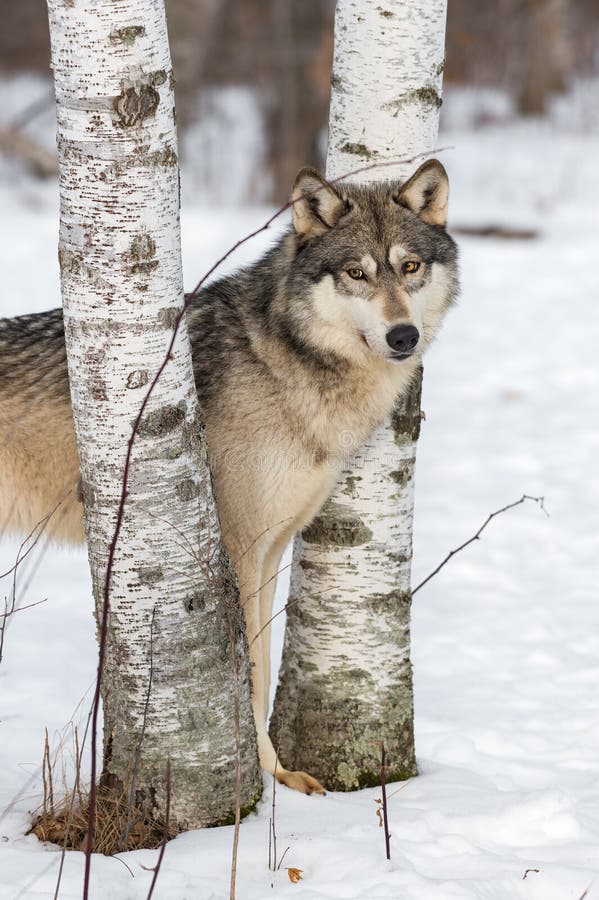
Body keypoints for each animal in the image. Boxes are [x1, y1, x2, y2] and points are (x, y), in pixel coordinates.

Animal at [0, 159, 458, 794]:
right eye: (356, 273)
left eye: (410, 267)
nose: (403, 337)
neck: (284, 361)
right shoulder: (241, 548)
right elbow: (249, 670)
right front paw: (263, 778)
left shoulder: (271, 549)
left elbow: (261, 672)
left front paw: (280, 774)